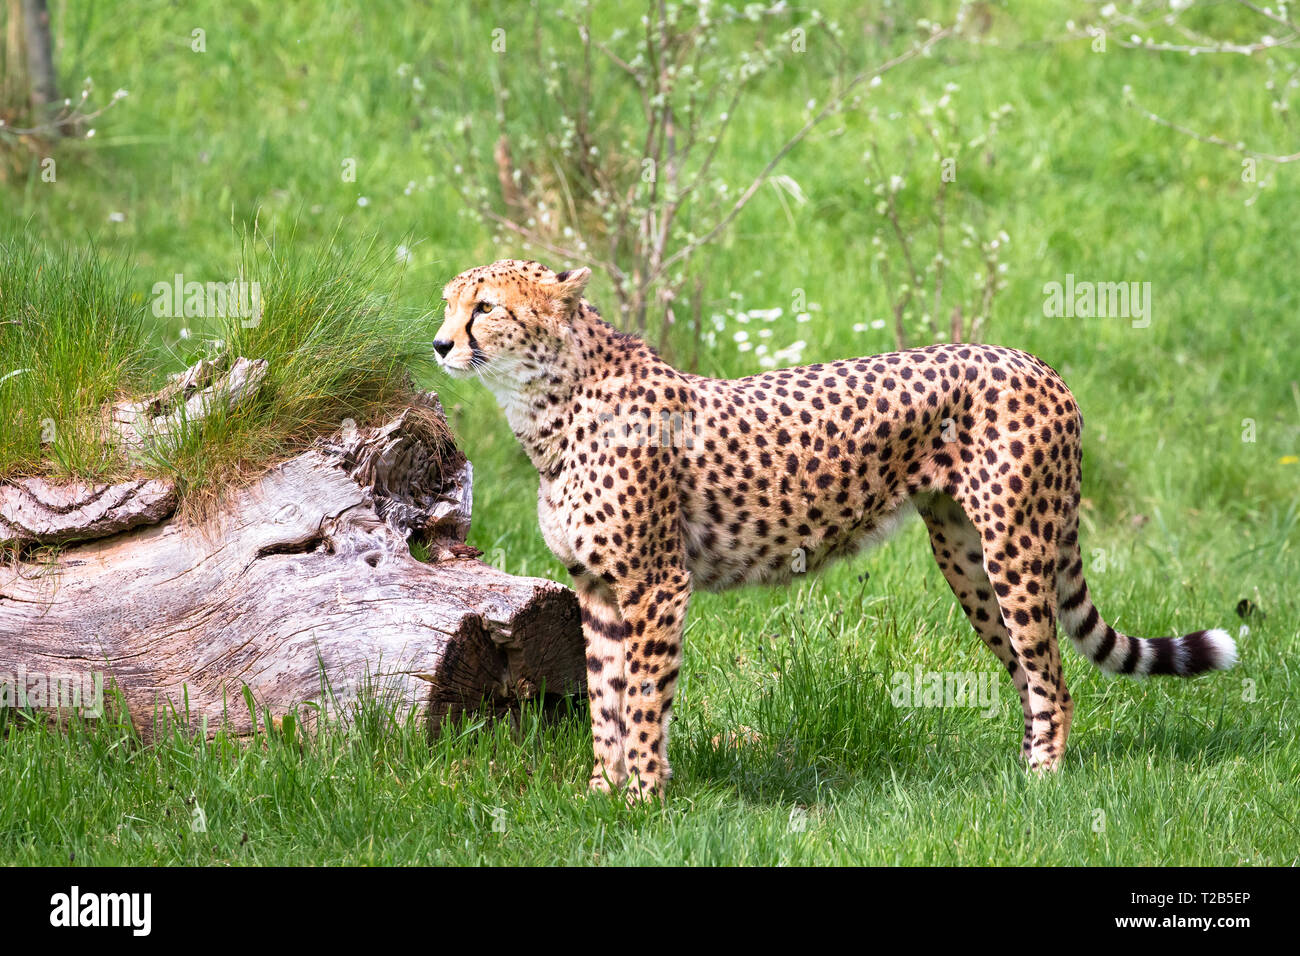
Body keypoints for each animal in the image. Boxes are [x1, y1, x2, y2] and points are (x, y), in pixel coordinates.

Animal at [433, 258, 1237, 801]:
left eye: (485, 307)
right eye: (449, 304)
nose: (440, 345)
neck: (550, 405)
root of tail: (1036, 361)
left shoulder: (656, 582)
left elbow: (643, 699)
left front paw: (646, 801)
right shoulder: (598, 587)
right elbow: (604, 696)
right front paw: (603, 795)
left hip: (1016, 547)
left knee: (1053, 677)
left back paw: (1043, 785)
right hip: (966, 559)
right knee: (1024, 669)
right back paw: (1016, 776)